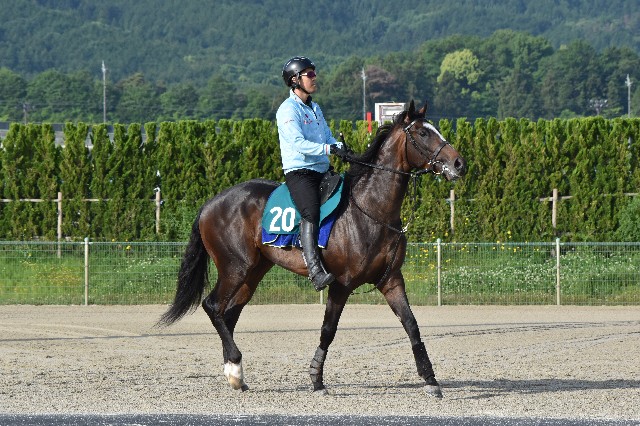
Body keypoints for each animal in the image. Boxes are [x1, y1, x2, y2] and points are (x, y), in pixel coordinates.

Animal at [159, 100, 466, 398]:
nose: (459, 163)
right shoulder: (341, 284)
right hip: (235, 268)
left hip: (254, 272)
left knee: (228, 313)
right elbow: (328, 330)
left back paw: (235, 375)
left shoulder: (391, 280)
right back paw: (234, 366)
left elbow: (411, 325)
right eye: (423, 133)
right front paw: (316, 379)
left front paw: (431, 380)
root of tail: (210, 204)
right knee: (213, 306)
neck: (372, 210)